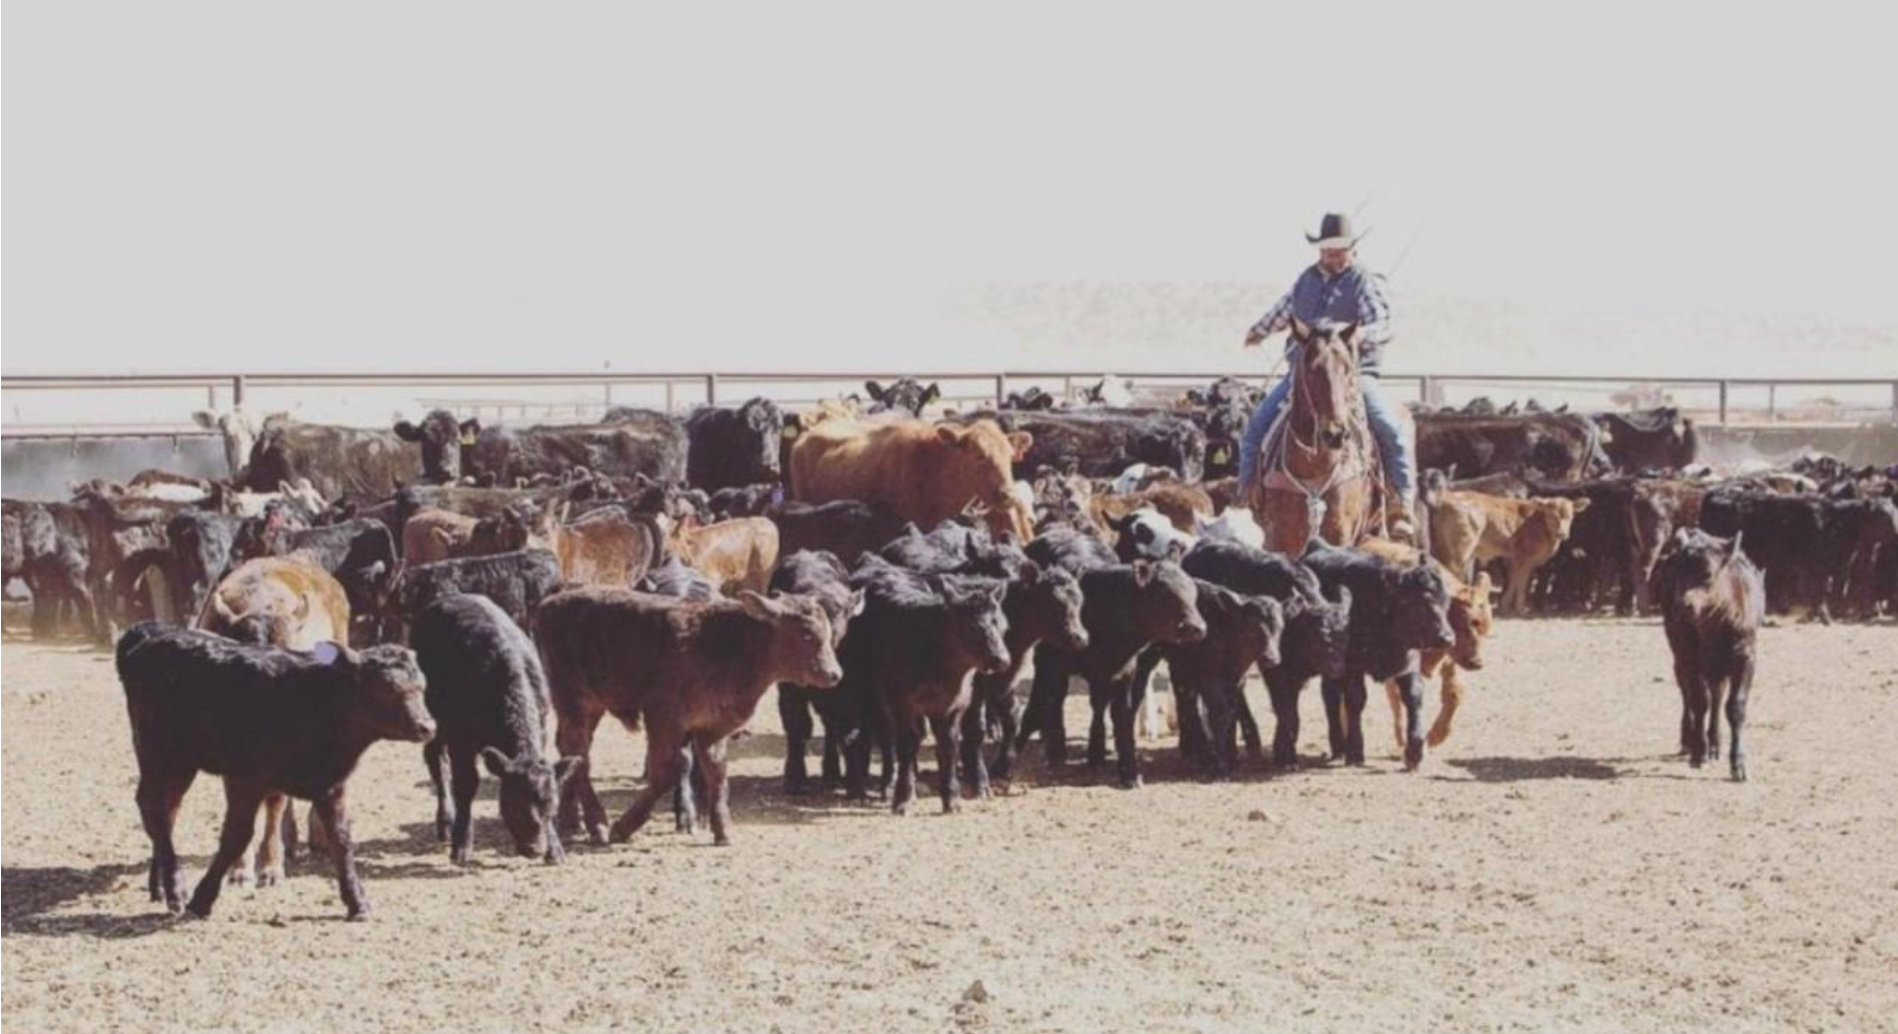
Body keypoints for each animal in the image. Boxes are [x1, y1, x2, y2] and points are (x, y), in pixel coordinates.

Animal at [116, 623, 434, 918]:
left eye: (422, 686)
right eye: (386, 689)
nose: (427, 727)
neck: (319, 703)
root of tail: (149, 636)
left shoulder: (331, 784)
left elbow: (342, 839)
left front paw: (357, 902)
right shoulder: (247, 780)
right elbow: (236, 837)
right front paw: (202, 899)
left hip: (179, 763)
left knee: (166, 810)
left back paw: (160, 887)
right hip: (160, 754)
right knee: (152, 807)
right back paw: (176, 889)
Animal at [411, 594, 581, 863]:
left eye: (551, 808)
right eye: (513, 805)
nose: (535, 849)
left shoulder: (543, 728)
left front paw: (555, 849)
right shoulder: (461, 739)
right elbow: (466, 784)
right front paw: (461, 845)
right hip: (431, 721)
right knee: (438, 764)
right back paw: (445, 823)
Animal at [538, 587, 842, 846]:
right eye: (806, 634)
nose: (835, 674)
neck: (729, 645)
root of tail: (549, 604)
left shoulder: (713, 726)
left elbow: (716, 773)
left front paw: (723, 830)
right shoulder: (664, 719)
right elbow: (664, 773)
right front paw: (623, 827)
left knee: (569, 751)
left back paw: (570, 821)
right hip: (577, 703)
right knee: (579, 755)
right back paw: (598, 824)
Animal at [1655, 529, 1764, 780]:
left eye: (1707, 574)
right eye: (1678, 574)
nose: (1682, 605)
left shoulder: (1745, 656)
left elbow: (1735, 706)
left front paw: (1738, 764)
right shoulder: (1688, 657)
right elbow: (1698, 701)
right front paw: (1698, 753)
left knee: (1717, 696)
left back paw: (1715, 743)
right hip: (1681, 660)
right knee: (1688, 694)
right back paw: (1689, 741)